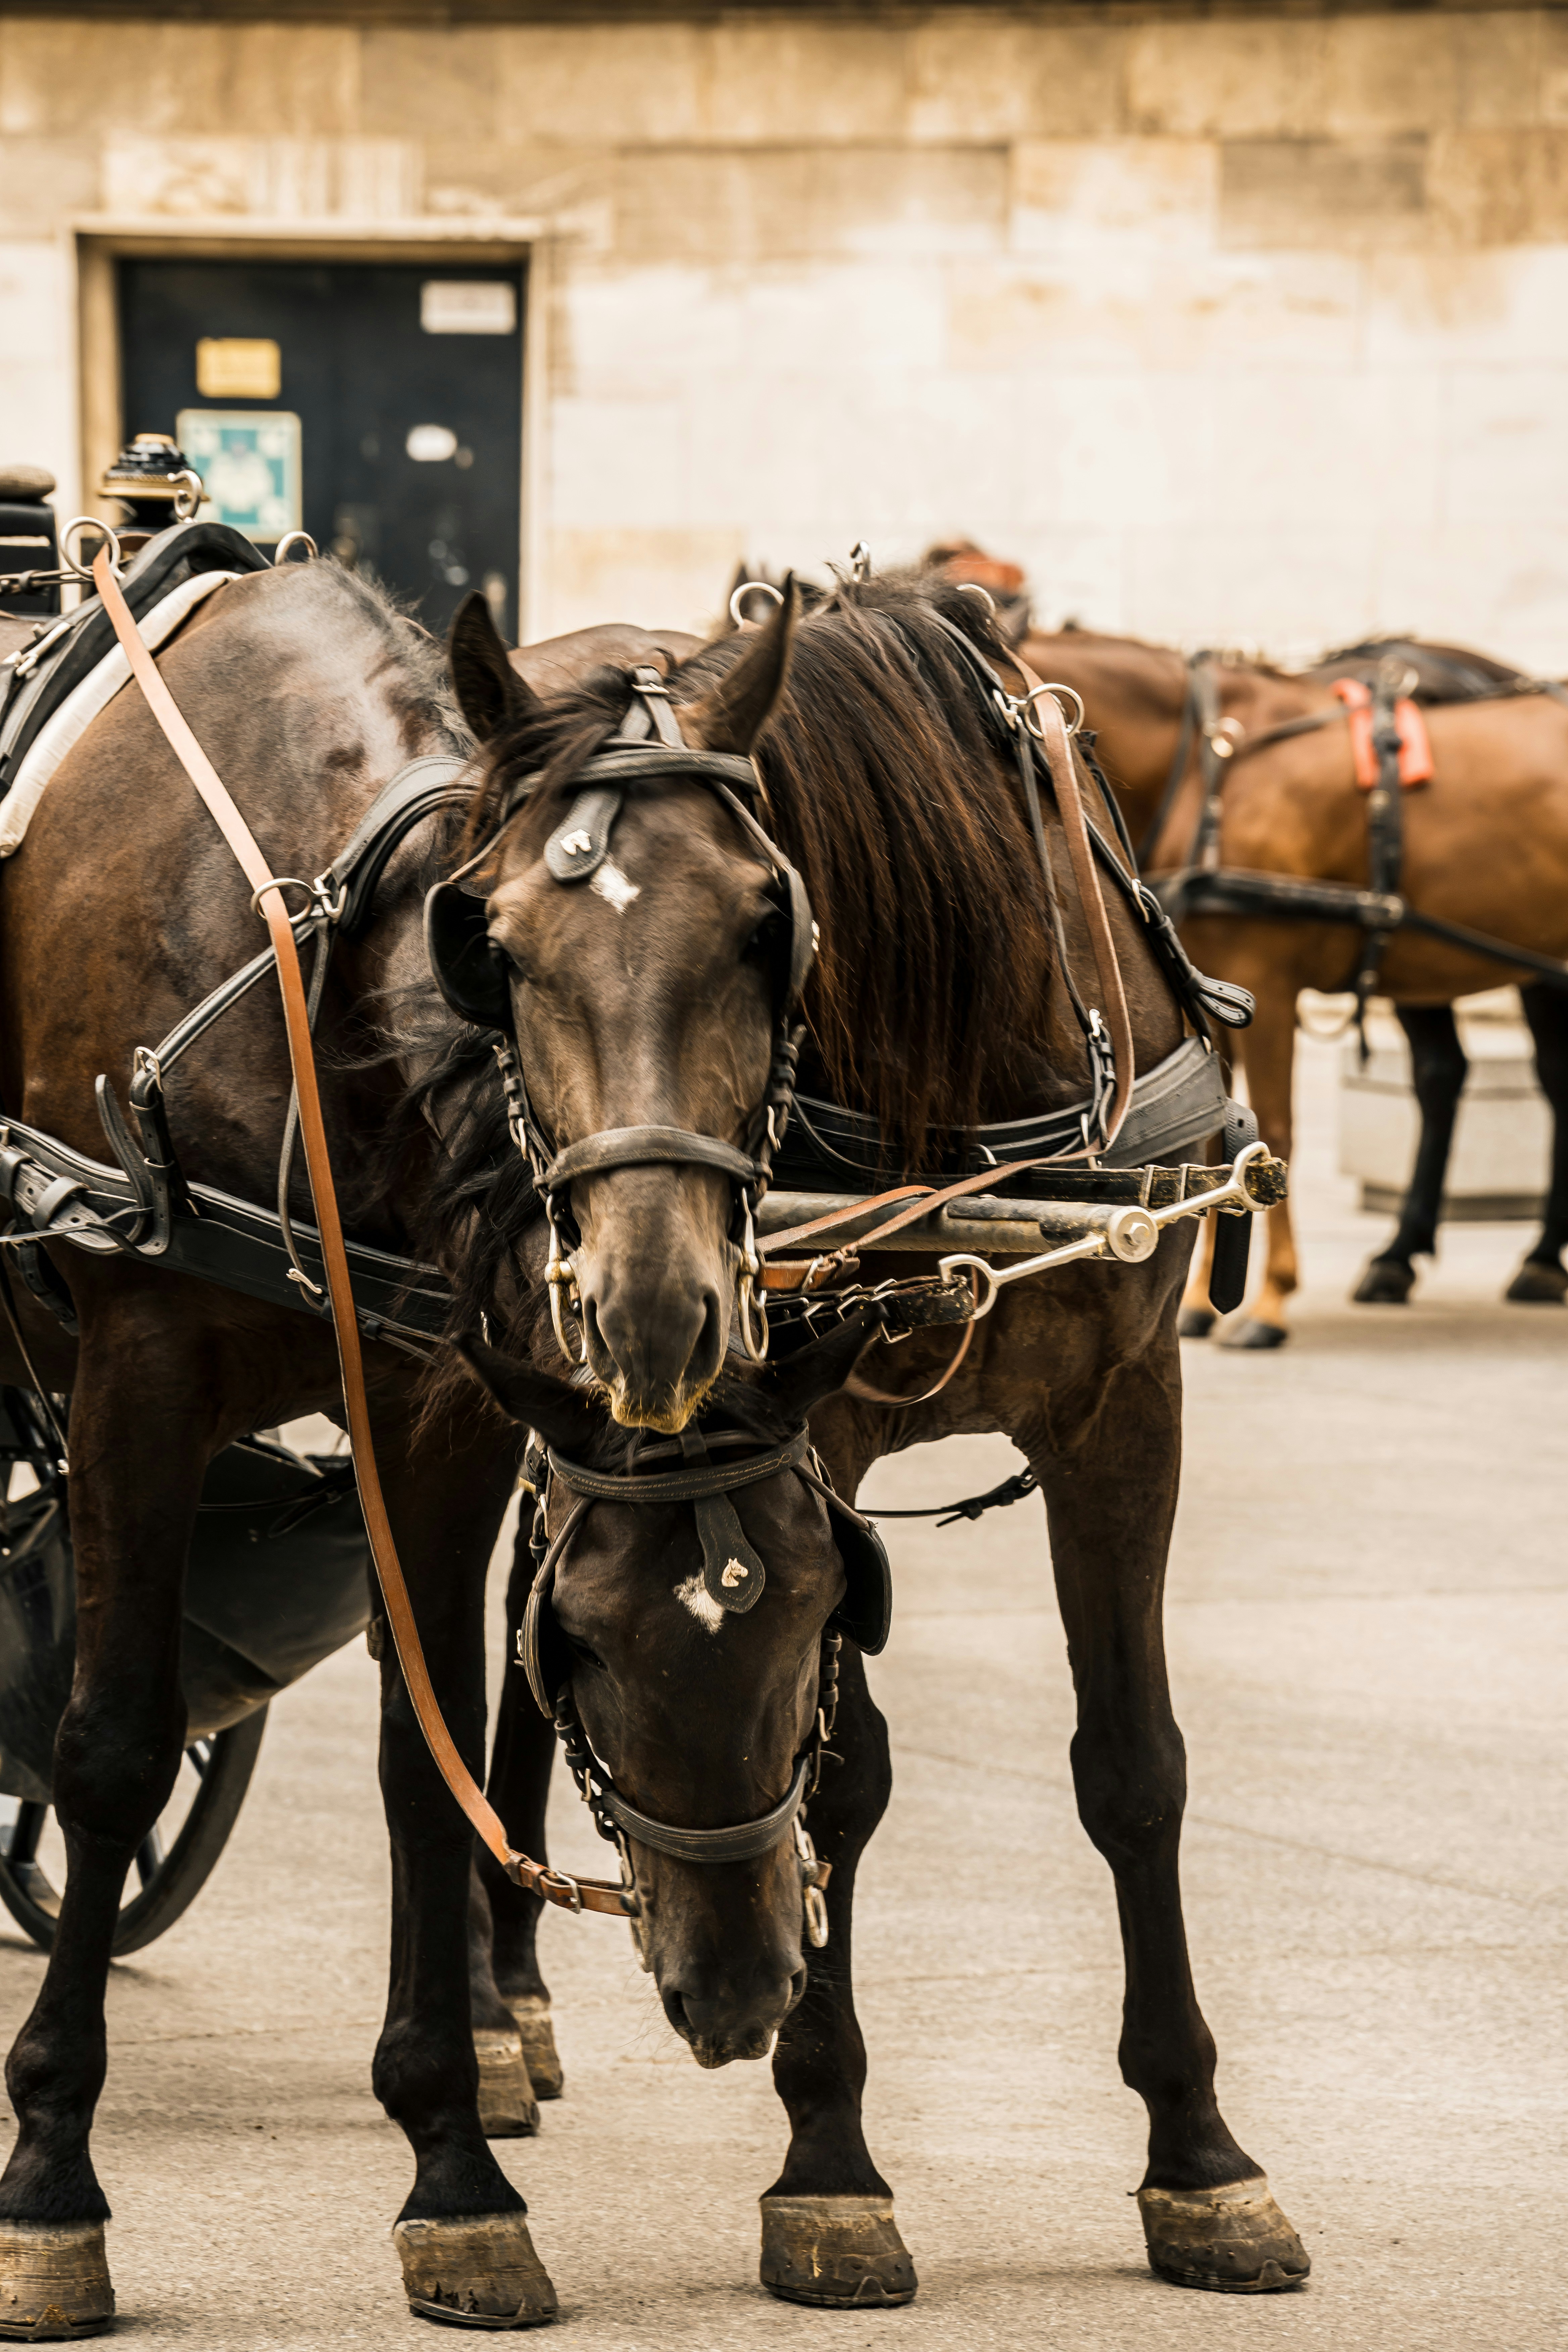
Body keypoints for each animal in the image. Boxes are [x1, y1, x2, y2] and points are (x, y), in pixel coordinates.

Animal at [0, 554, 718, 2334]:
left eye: (763, 930)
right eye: (502, 949)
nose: (656, 1297)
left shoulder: (432, 1418)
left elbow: (424, 1759)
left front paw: (454, 2168)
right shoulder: (135, 1373)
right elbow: (107, 1750)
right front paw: (49, 2175)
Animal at [433, 569, 1310, 2304]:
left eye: (770, 925)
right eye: (491, 943)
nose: (652, 1299)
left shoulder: (1124, 1405)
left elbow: (1134, 1765)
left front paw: (1199, 2154)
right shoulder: (807, 1421)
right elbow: (834, 1782)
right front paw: (828, 2162)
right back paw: (497, 2013)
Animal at [1016, 625, 1568, 1346]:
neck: (1210, 767)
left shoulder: (1266, 979)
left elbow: (1274, 1125)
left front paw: (1271, 1299)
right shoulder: (1214, 989)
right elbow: (1217, 1131)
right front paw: (1204, 1299)